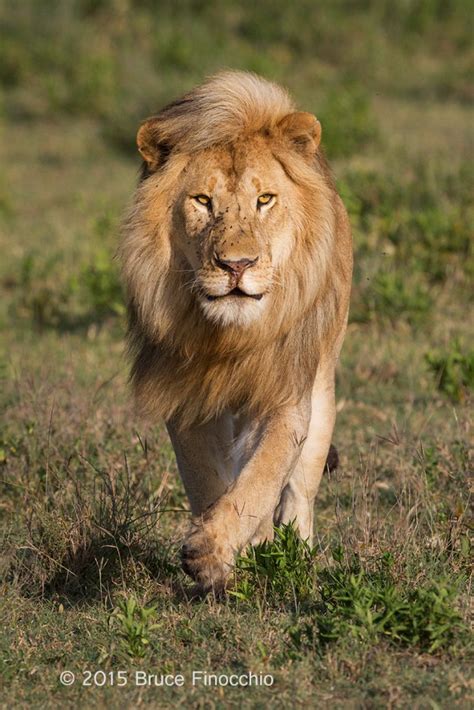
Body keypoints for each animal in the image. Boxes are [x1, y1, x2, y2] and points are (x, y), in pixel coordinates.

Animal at [120, 71, 352, 593]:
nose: (236, 265)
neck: (231, 337)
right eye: (203, 202)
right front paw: (215, 556)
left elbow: (263, 475)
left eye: (264, 199)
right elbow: (209, 478)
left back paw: (294, 553)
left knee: (299, 487)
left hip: (322, 384)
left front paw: (215, 551)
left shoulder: (285, 394)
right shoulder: (188, 396)